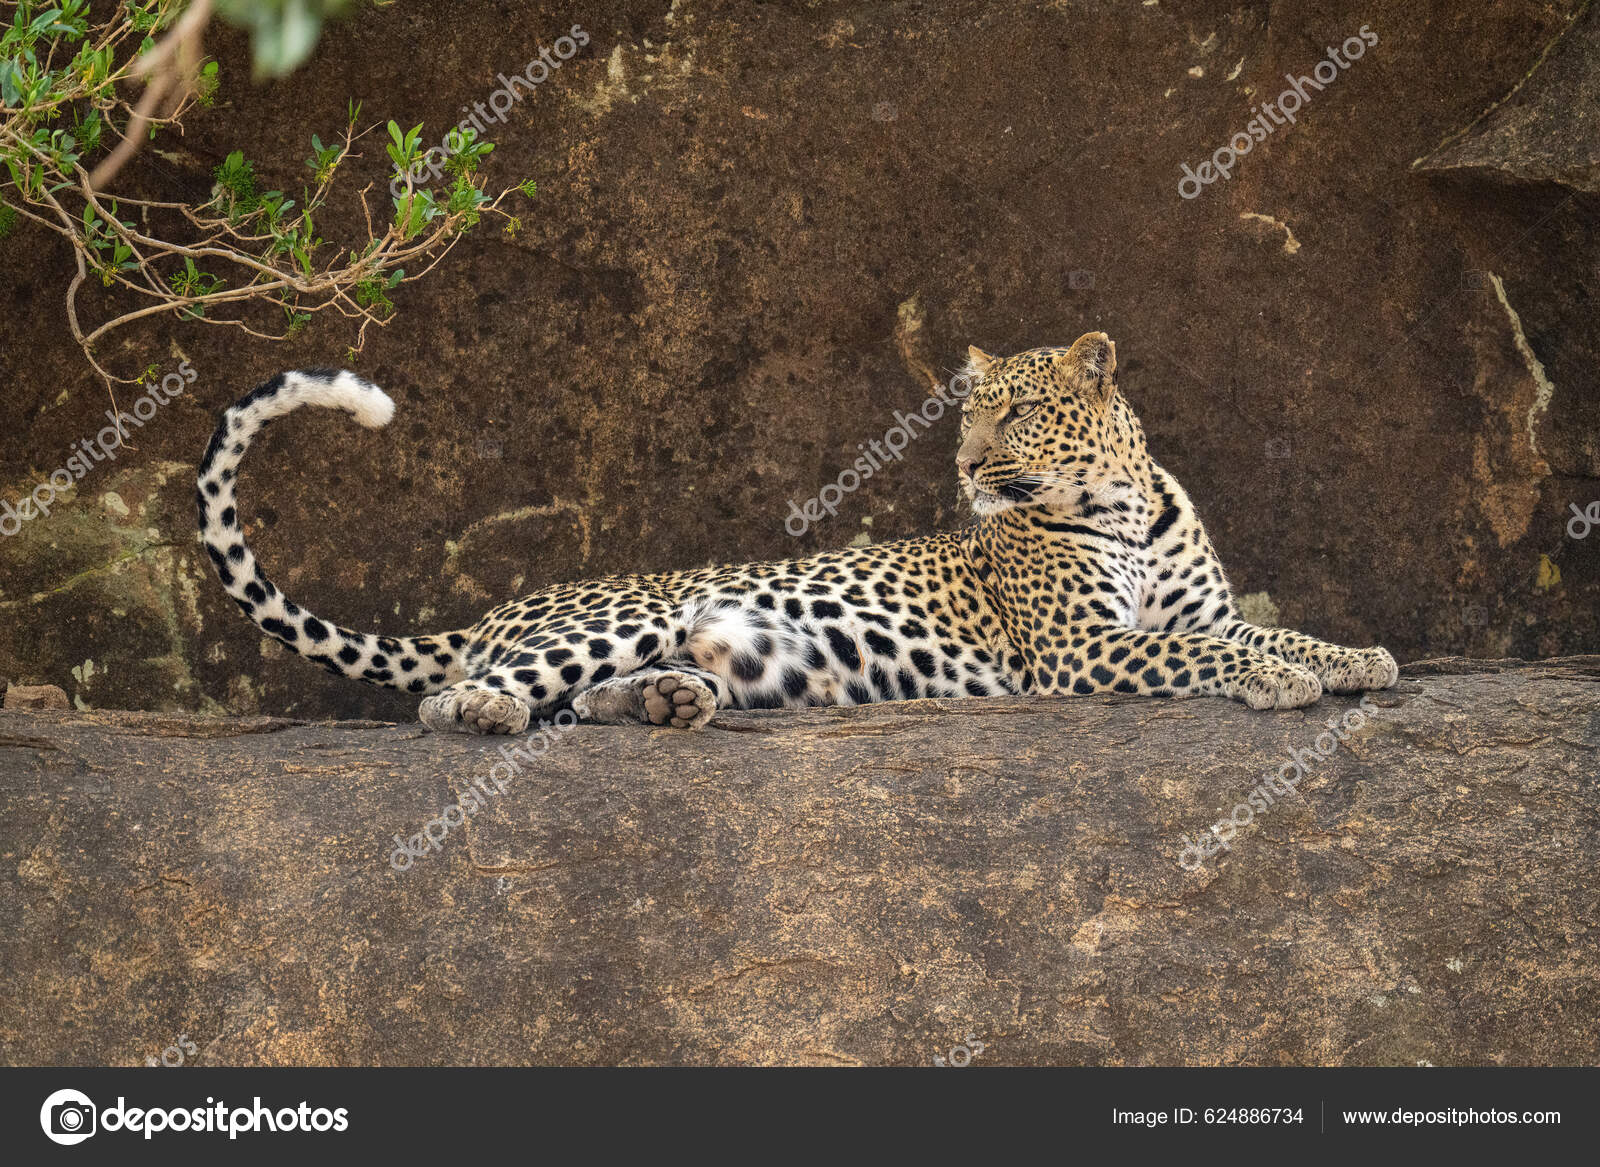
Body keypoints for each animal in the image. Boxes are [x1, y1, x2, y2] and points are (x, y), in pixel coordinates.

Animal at [195, 330, 1398, 735]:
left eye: (1011, 412)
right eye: (966, 414)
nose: (964, 466)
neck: (1124, 505)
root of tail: (498, 606)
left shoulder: (1192, 610)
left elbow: (1254, 629)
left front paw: (1352, 657)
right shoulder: (1080, 649)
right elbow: (1206, 653)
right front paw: (1289, 679)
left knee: (587, 705)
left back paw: (670, 703)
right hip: (619, 618)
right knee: (463, 698)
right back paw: (490, 709)